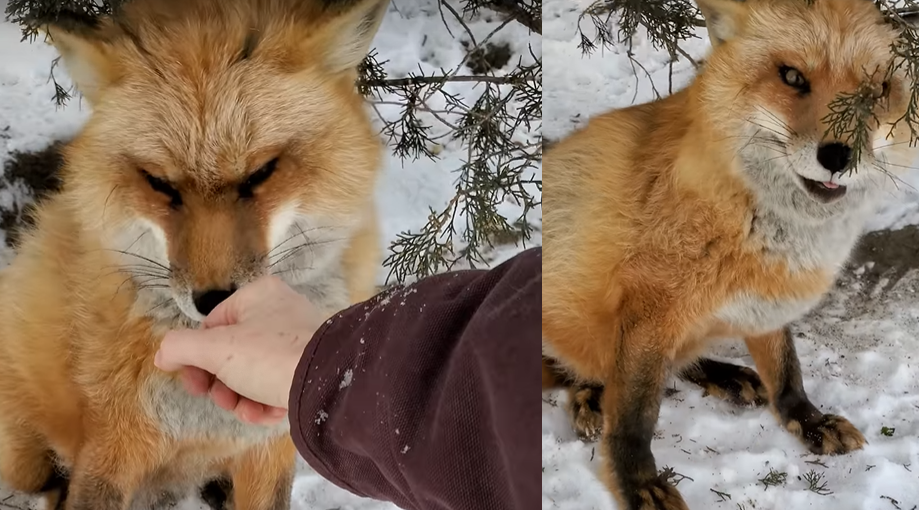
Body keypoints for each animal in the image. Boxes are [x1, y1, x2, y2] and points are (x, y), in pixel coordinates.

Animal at [0, 0, 389, 508]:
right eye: (159, 184)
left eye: (261, 174)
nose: (213, 300)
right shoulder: (110, 447)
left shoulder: (269, 445)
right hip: (25, 455)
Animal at [541, 0, 917, 509]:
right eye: (792, 77)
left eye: (877, 90)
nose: (839, 156)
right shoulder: (648, 306)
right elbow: (636, 415)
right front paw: (637, 483)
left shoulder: (769, 299)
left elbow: (787, 370)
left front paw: (807, 420)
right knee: (585, 373)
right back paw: (591, 397)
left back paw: (723, 374)